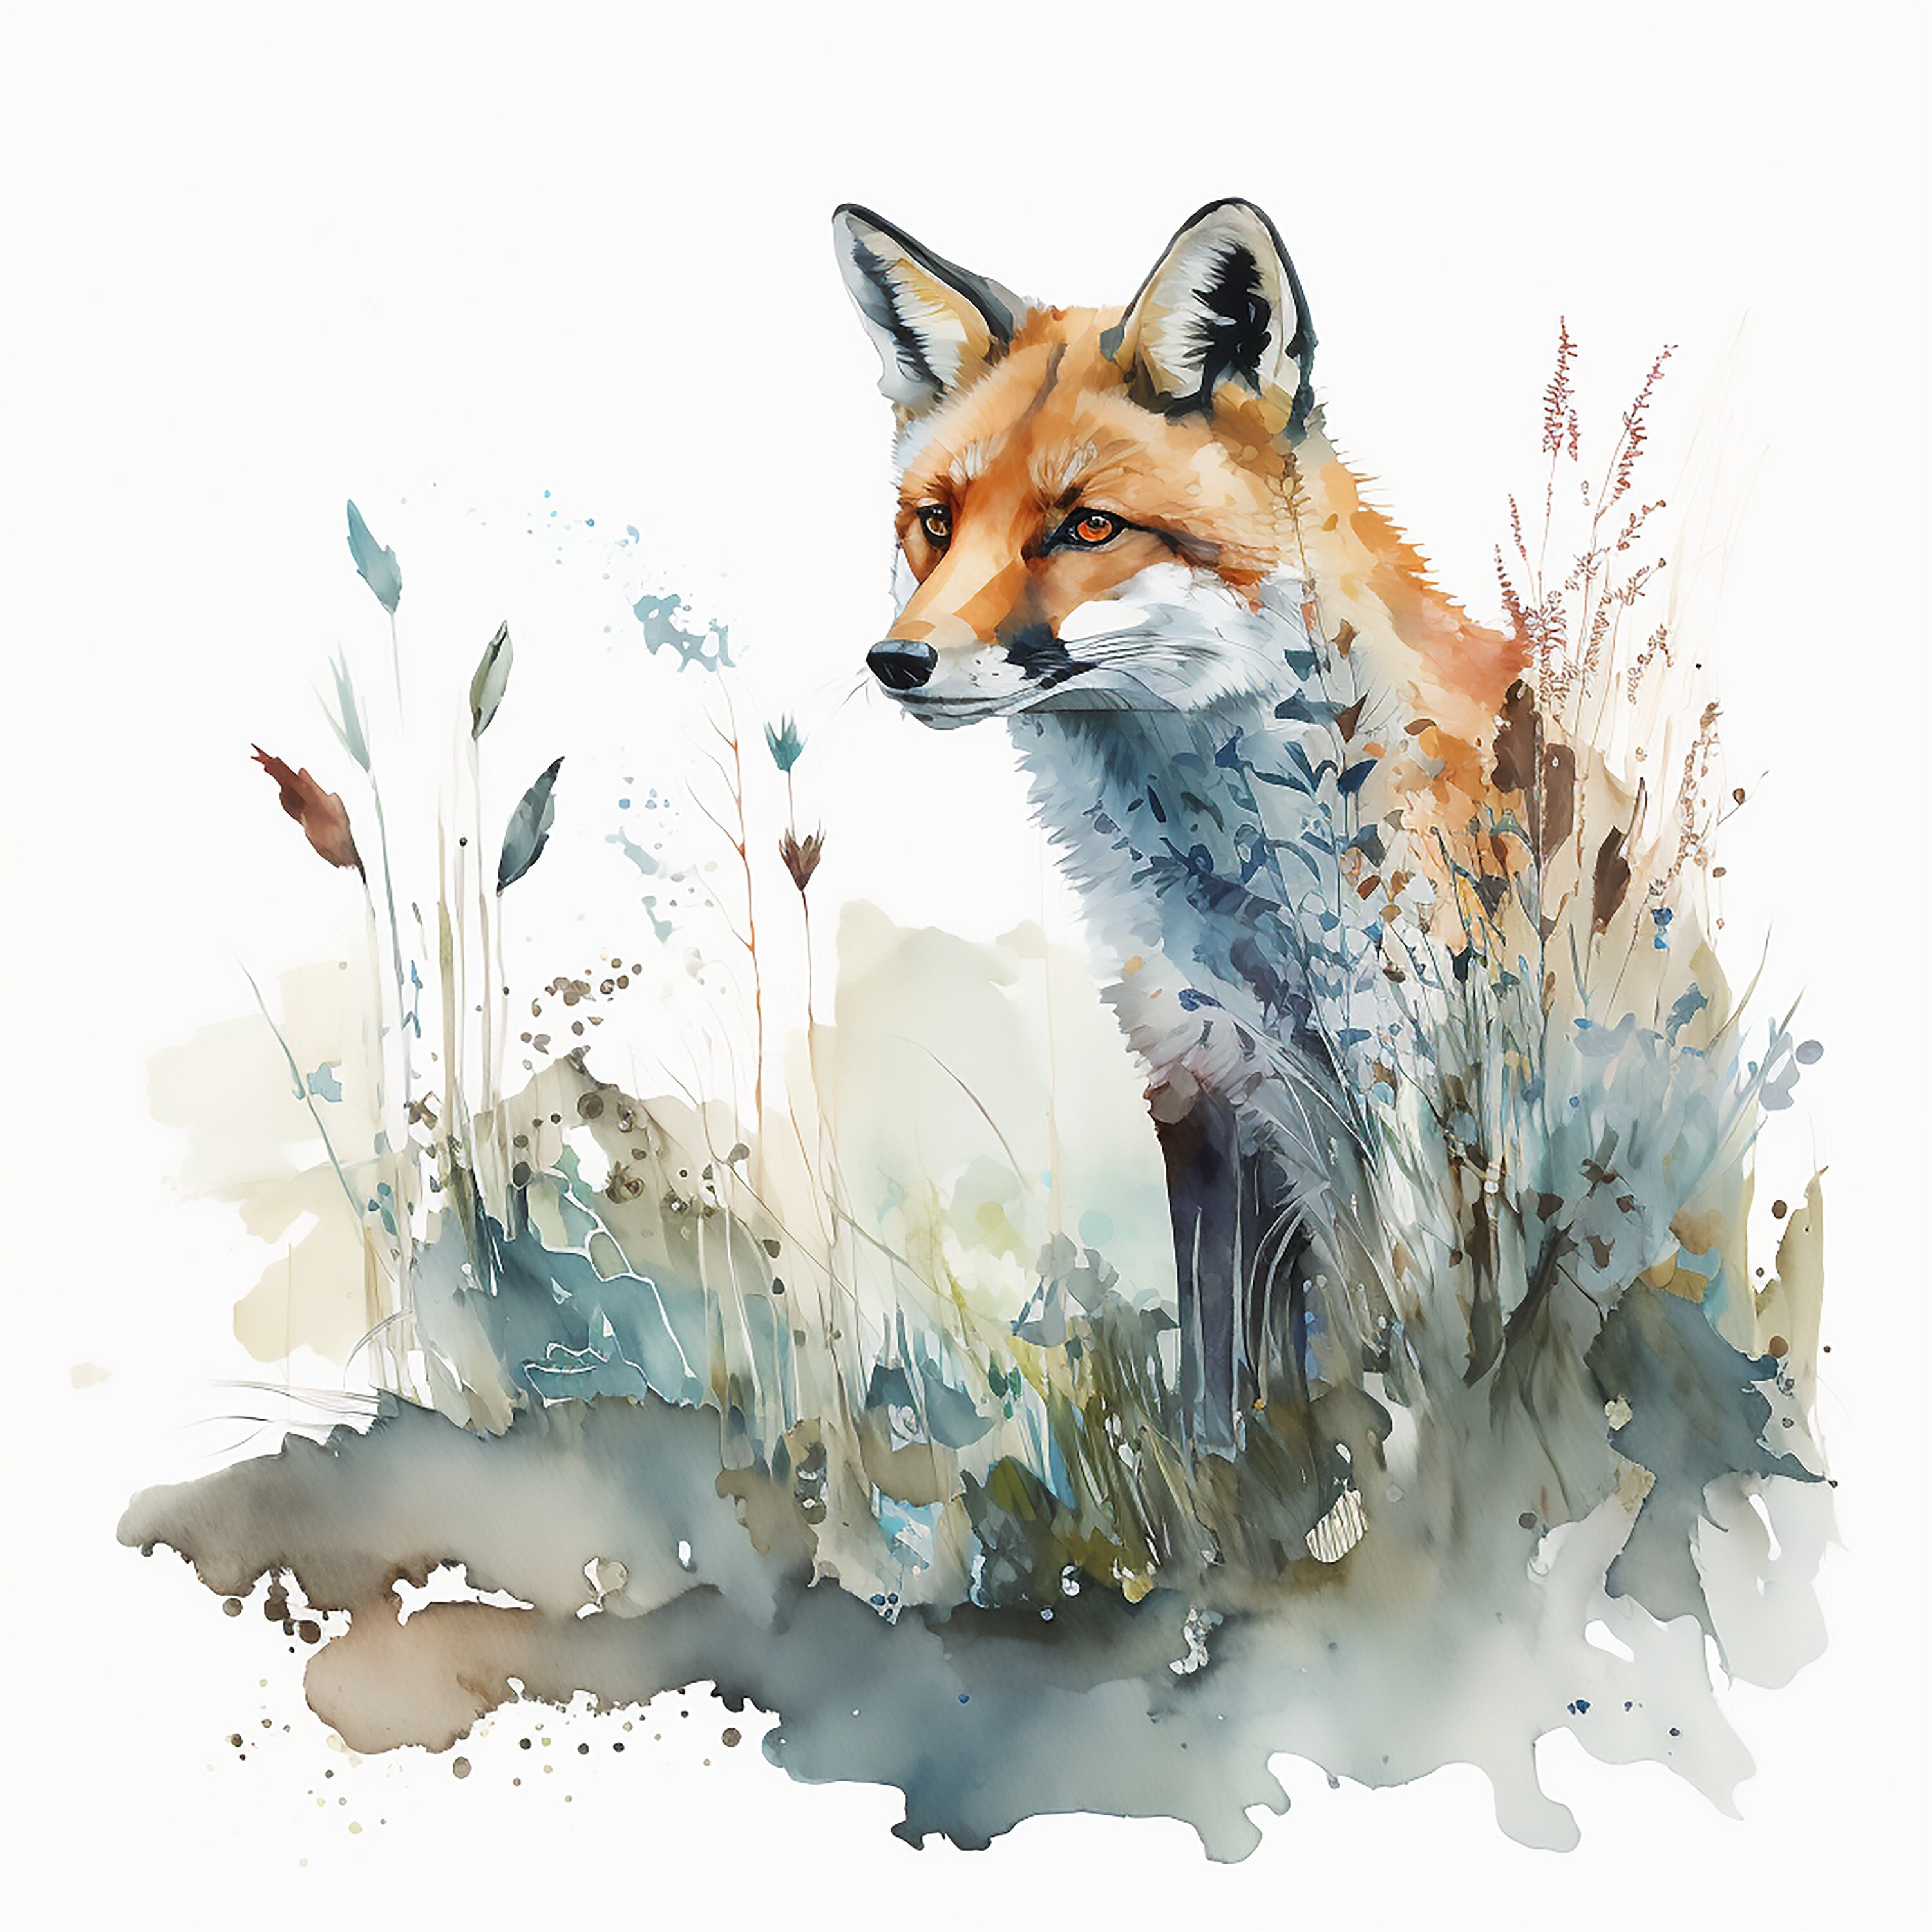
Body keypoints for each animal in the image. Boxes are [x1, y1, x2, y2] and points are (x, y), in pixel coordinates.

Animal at [833, 199, 1527, 1463]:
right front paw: (1233, 1487)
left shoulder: (1413, 1086)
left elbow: (1432, 1357)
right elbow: (1218, 1381)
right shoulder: (1200, 1081)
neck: (1248, 893)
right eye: (936, 524)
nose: (897, 661)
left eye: (1087, 526)